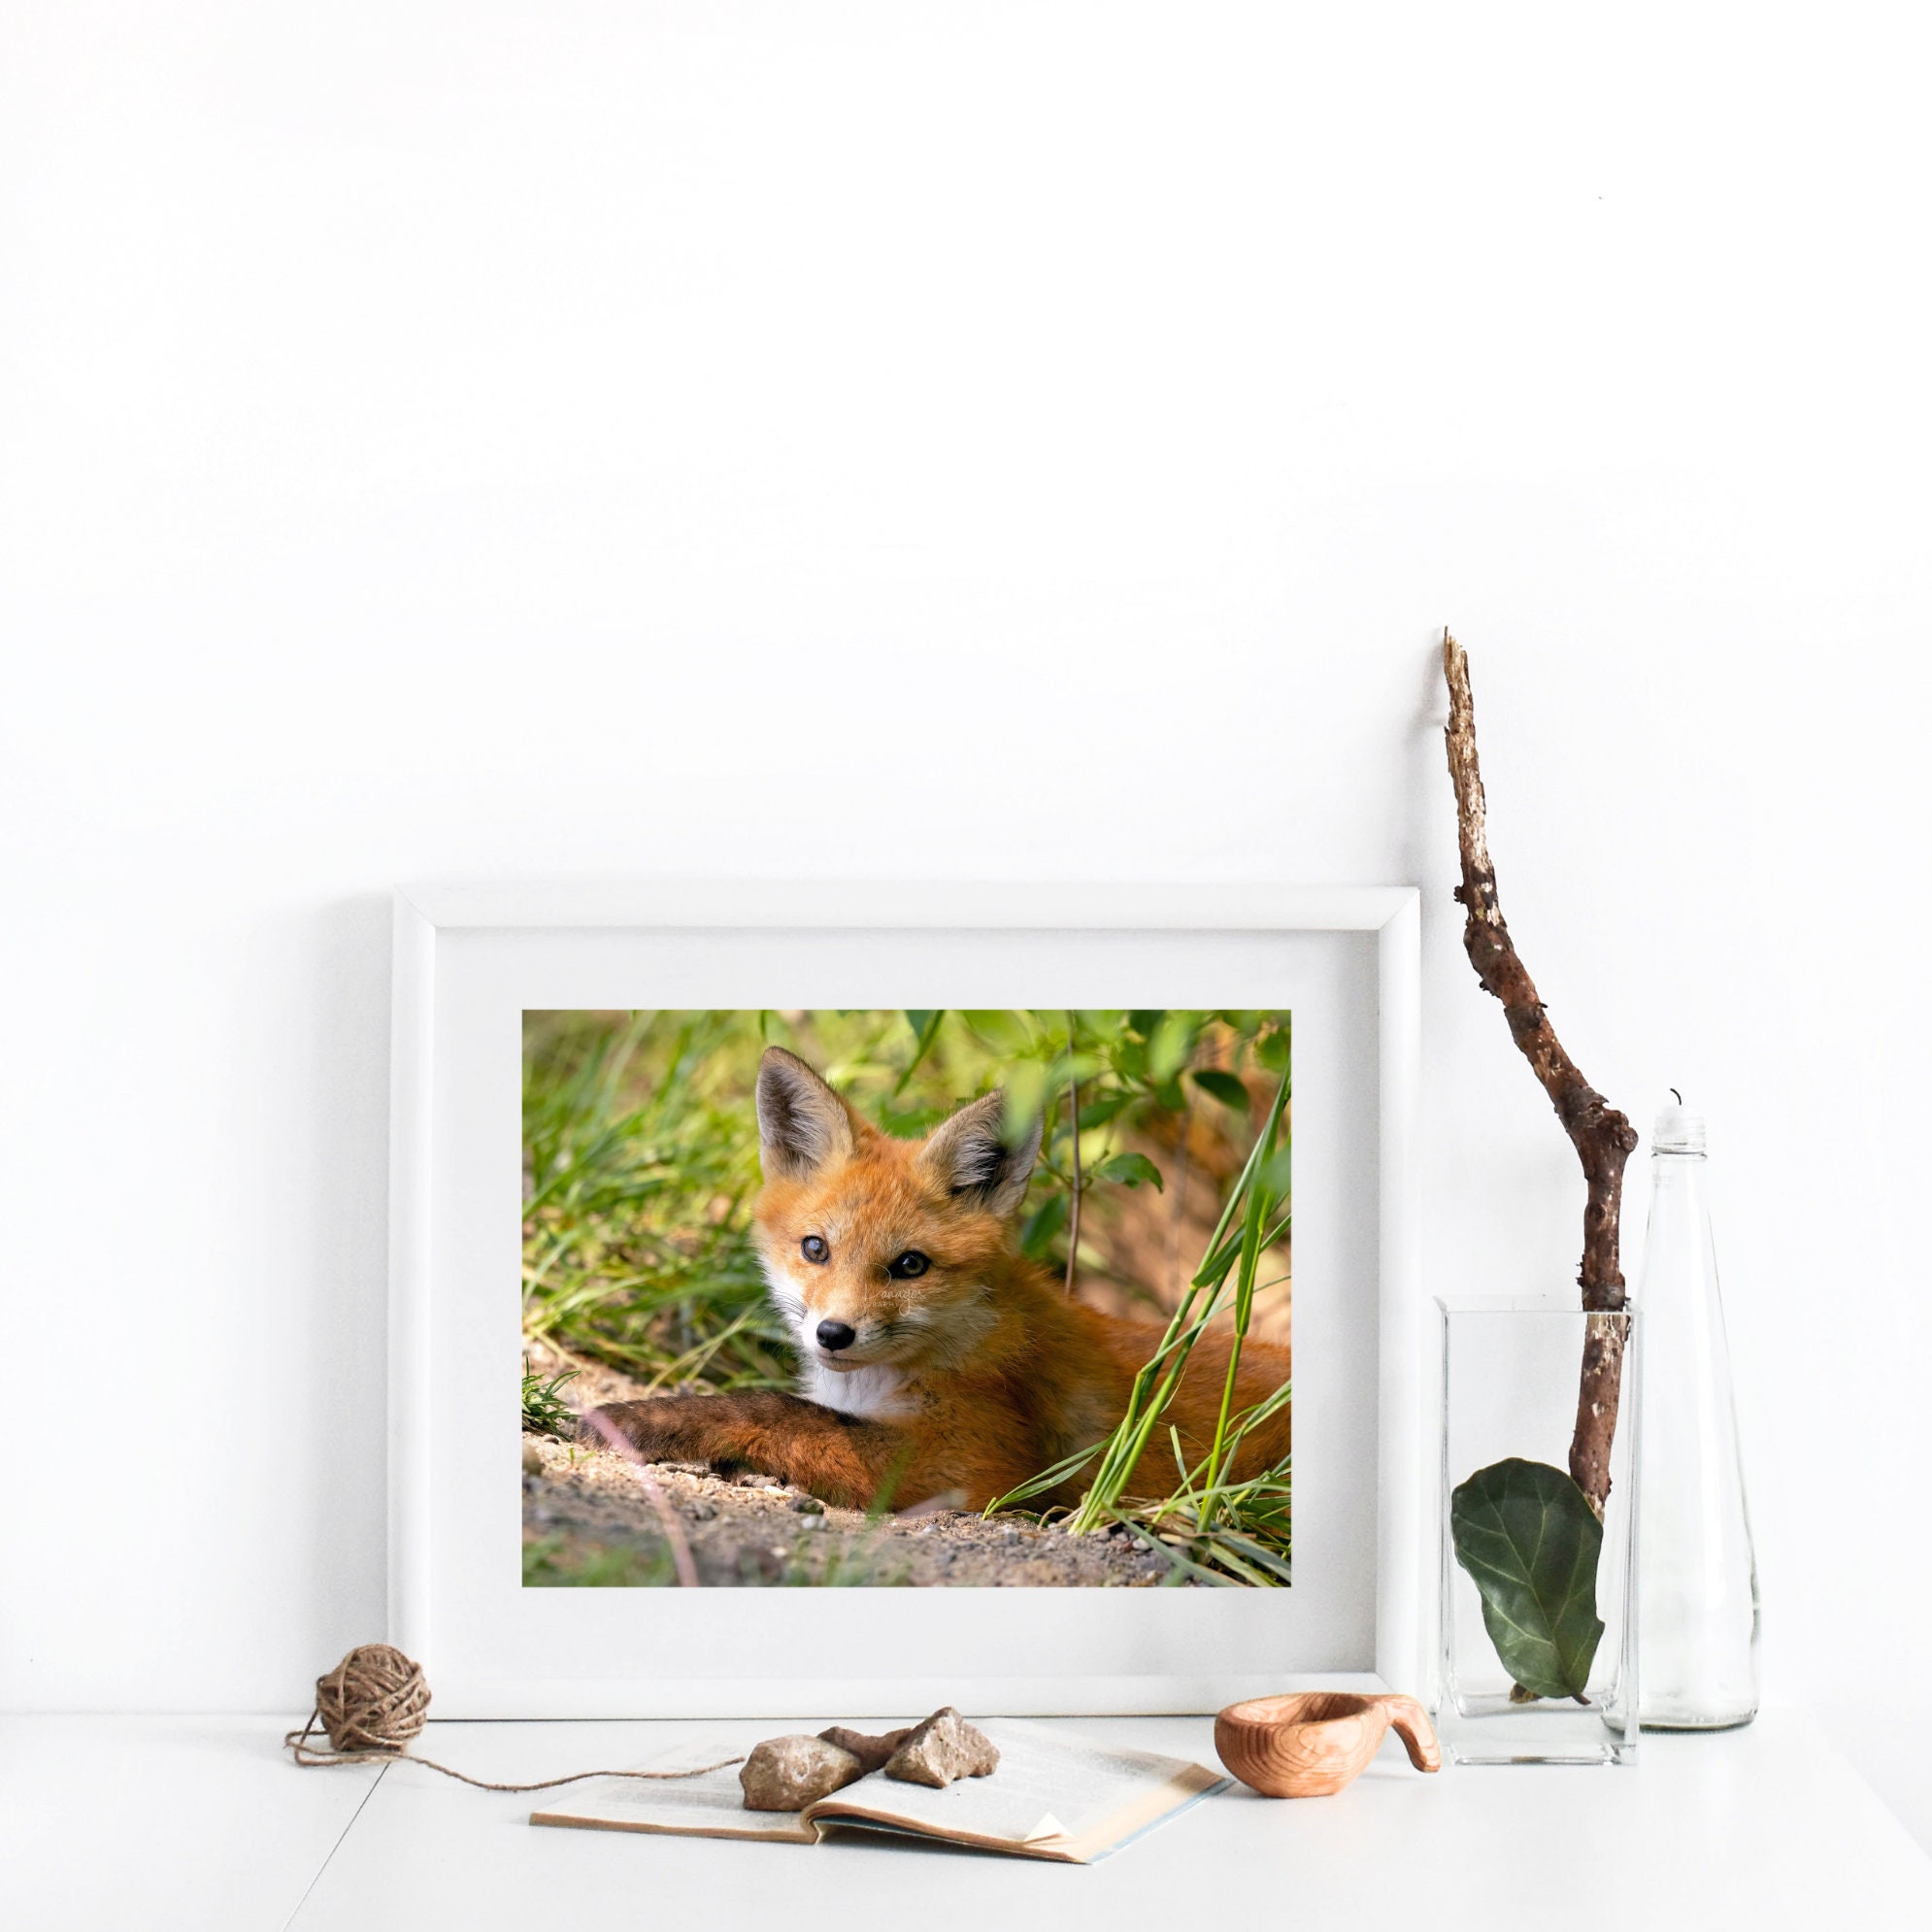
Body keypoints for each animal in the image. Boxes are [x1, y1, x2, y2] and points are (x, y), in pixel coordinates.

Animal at [579, 1046, 1292, 1512]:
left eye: (910, 1265)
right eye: (815, 1249)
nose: (833, 1334)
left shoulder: (976, 1463)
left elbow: (783, 1411)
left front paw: (641, 1419)